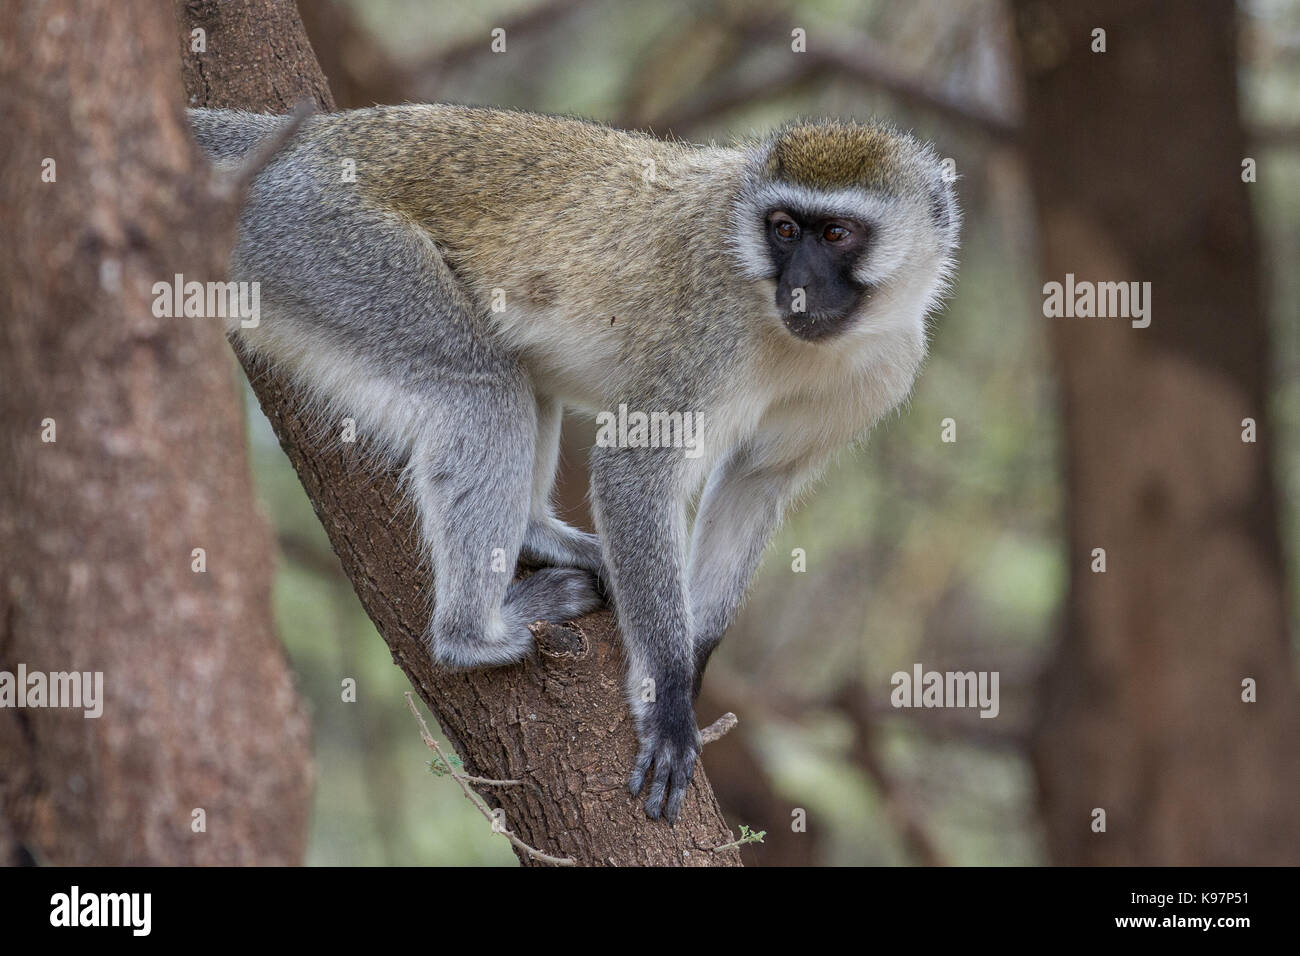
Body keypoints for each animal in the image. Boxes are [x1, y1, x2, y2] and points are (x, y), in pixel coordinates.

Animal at [188, 104, 959, 823]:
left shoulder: (886, 367)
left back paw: (535, 533)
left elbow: (755, 482)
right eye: (784, 229)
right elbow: (635, 467)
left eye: (835, 234)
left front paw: (693, 661)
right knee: (480, 386)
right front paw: (668, 702)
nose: (797, 284)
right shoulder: (711, 325)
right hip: (320, 242)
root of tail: (316, 136)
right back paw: (475, 635)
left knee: (516, 375)